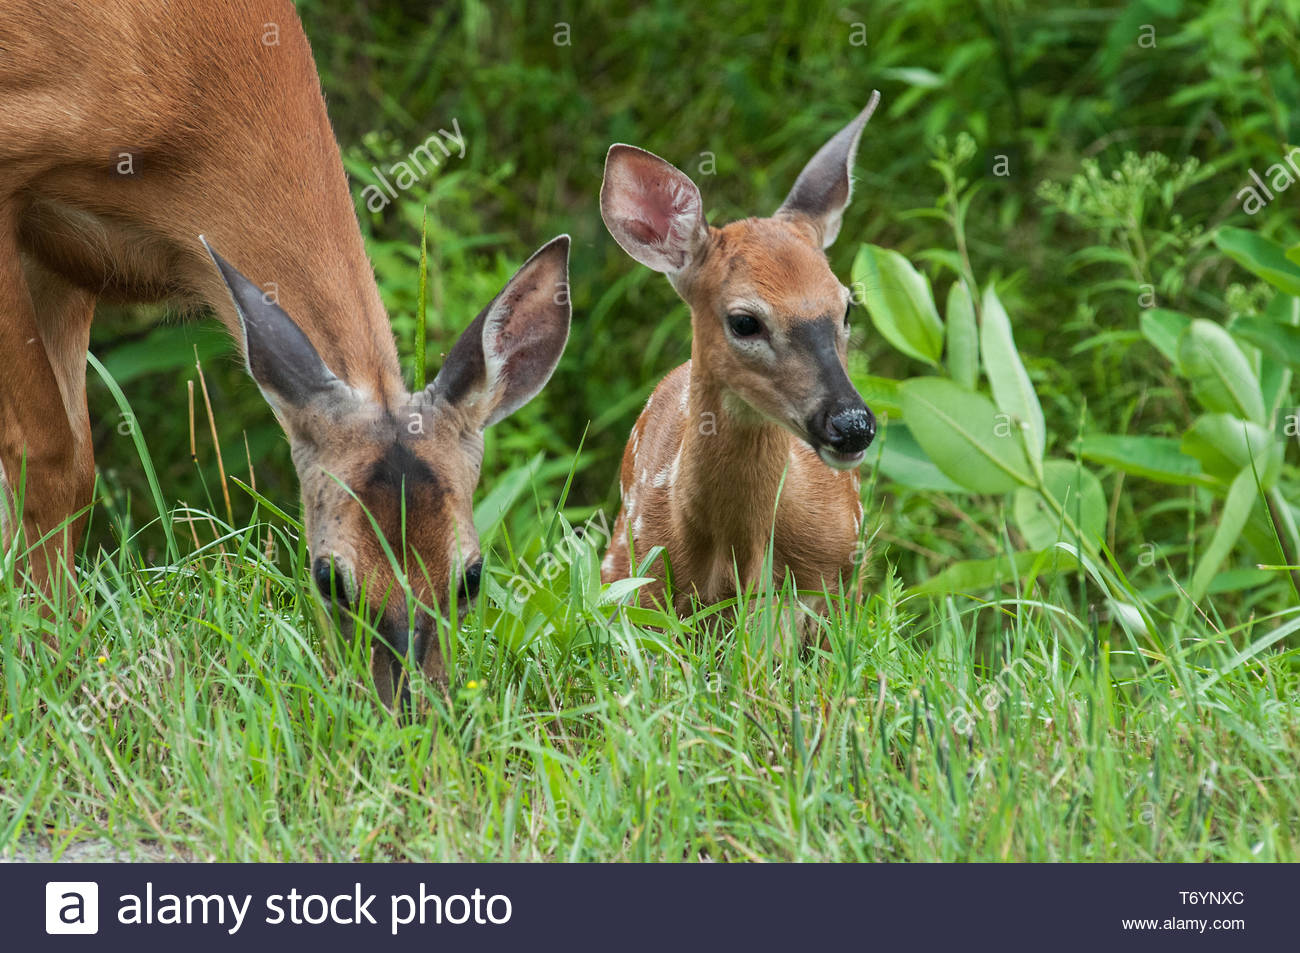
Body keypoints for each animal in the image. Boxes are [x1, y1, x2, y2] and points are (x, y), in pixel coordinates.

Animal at [0, 0, 572, 707]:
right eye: (329, 579)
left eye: (471, 575)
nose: (409, 708)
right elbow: (48, 455)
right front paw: (56, 673)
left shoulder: (65, 260)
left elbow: (73, 462)